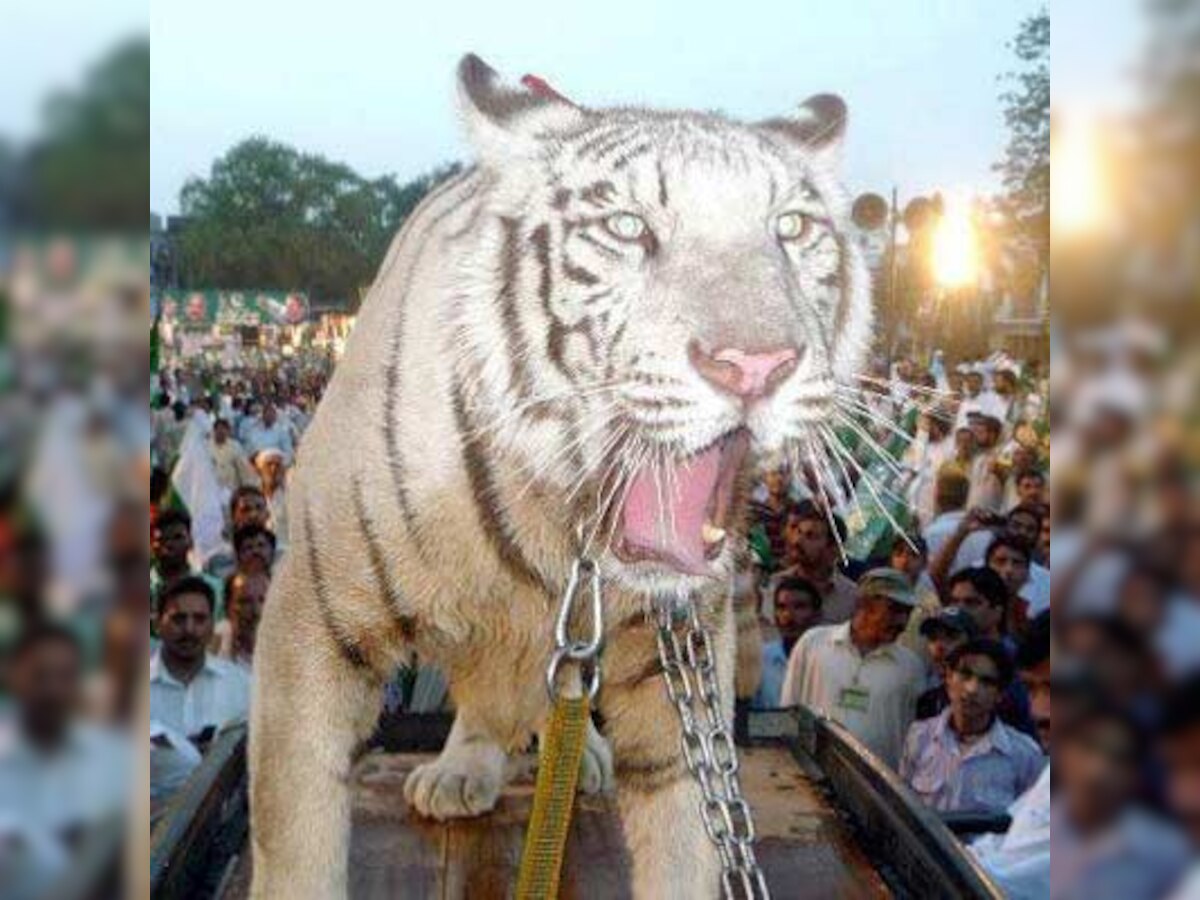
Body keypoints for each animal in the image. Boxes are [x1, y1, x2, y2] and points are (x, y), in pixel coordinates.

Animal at [248, 53, 871, 899]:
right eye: (627, 228)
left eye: (792, 229)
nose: (755, 366)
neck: (564, 526)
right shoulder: (309, 629)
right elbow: (296, 840)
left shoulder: (681, 667)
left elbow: (689, 838)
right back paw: (463, 771)